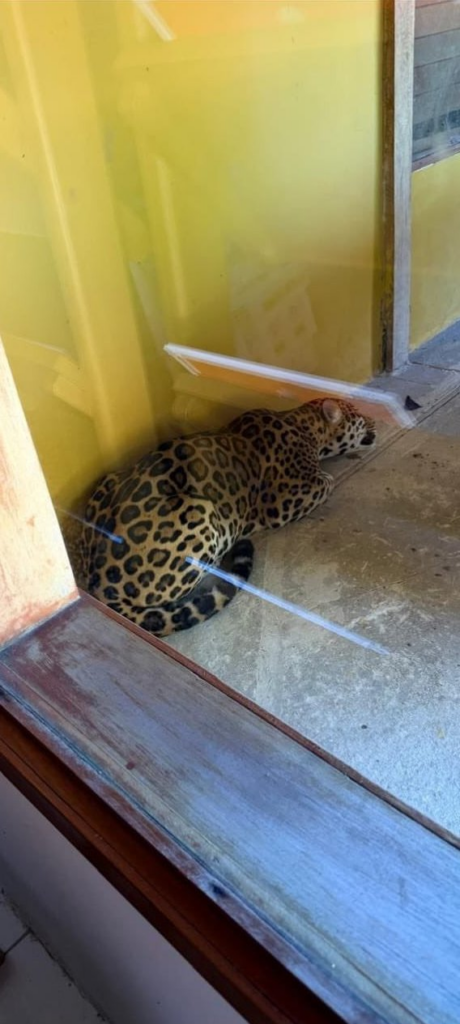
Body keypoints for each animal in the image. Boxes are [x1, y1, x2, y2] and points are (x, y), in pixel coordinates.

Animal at [78, 398, 376, 637]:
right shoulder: (284, 501)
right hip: (201, 511)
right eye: (359, 415)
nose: (374, 420)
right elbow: (327, 481)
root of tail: (99, 585)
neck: (304, 424)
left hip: (107, 480)